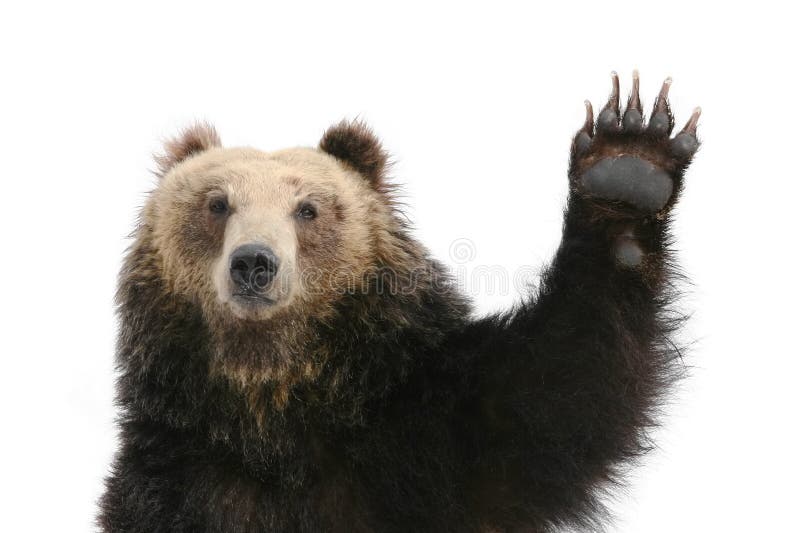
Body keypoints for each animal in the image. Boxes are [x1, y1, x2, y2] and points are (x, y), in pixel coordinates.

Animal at [98, 71, 700, 533]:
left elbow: (560, 389)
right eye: (217, 203)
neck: (272, 400)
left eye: (308, 208)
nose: (253, 263)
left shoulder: (423, 433)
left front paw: (628, 164)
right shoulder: (174, 477)